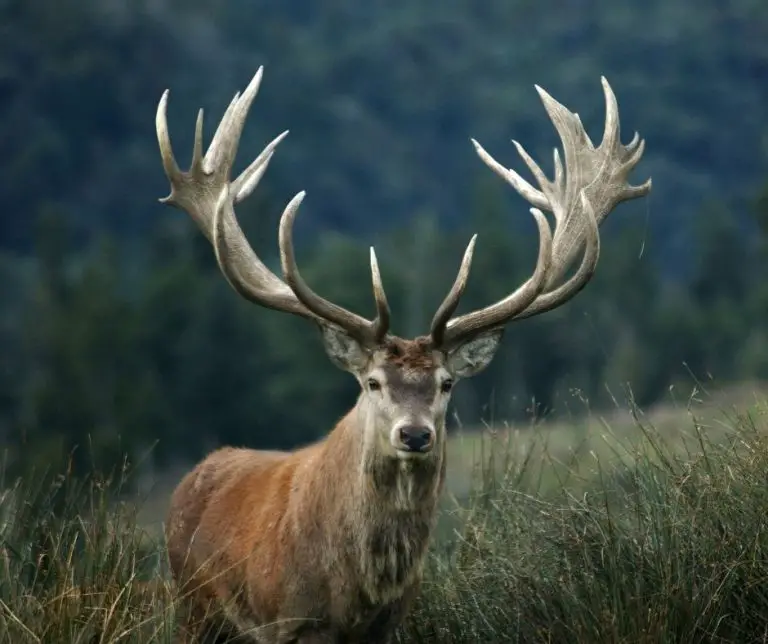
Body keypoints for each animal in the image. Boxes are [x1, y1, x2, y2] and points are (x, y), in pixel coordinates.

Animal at [155, 66, 651, 643]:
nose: (414, 434)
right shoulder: (288, 620)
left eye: (446, 383)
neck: (354, 594)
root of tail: (191, 480)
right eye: (371, 382)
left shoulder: (388, 626)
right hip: (193, 609)